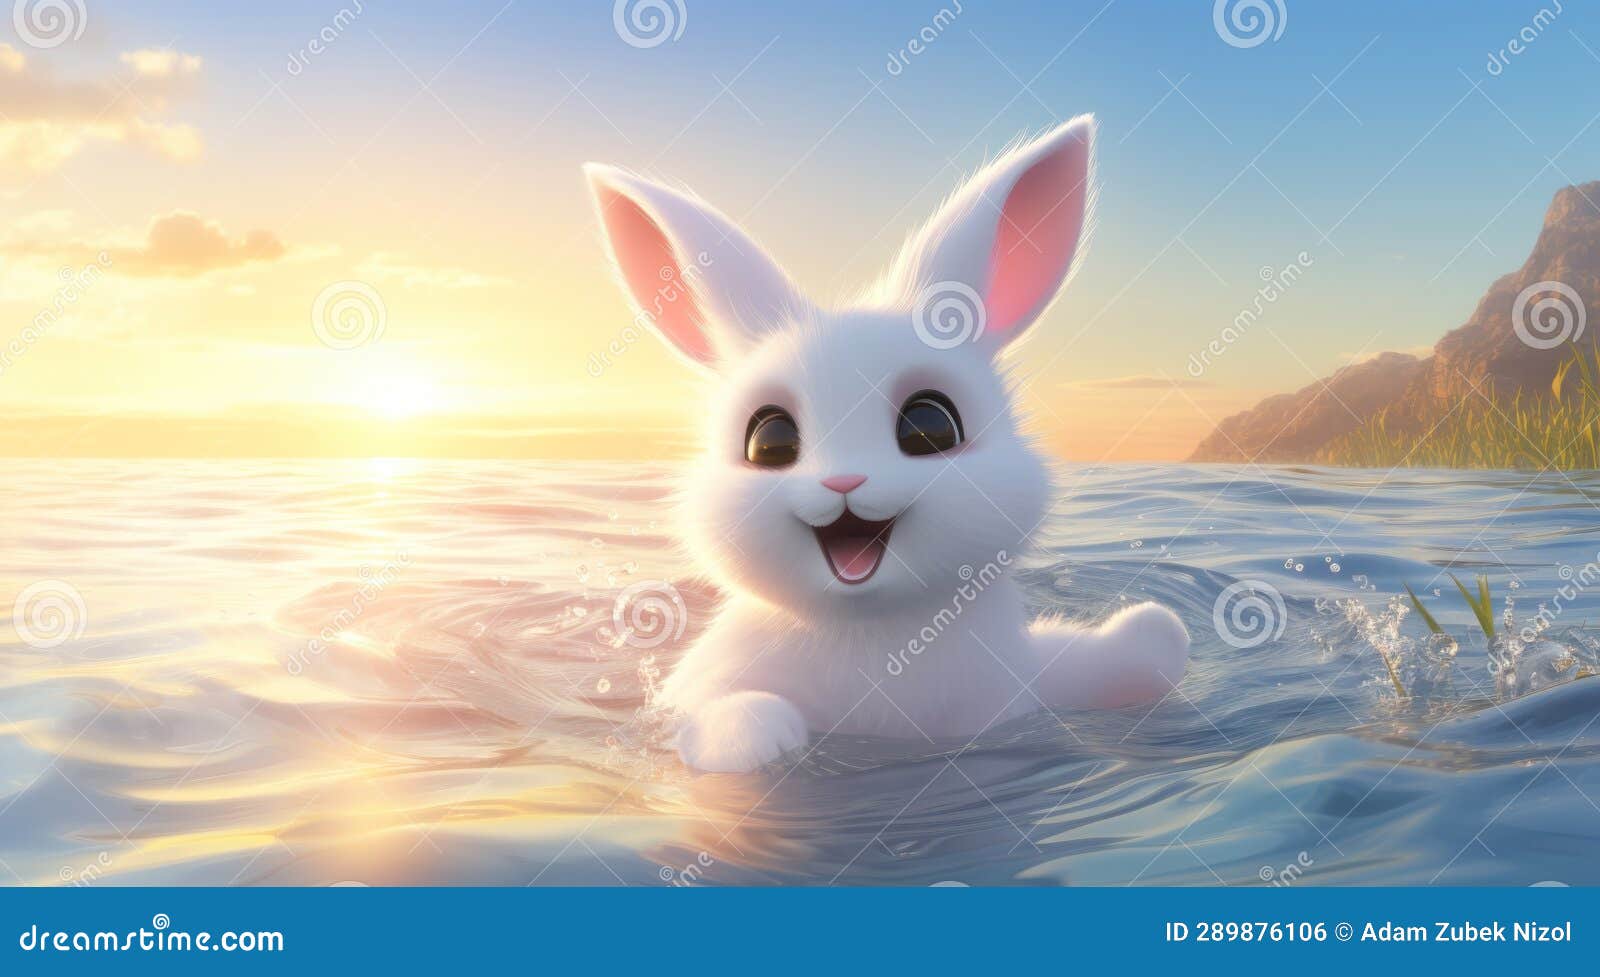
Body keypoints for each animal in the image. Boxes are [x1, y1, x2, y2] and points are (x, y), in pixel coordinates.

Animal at [585, 115, 1189, 773]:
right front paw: (761, 734)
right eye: (769, 441)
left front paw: (1156, 630)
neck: (875, 629)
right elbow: (715, 717)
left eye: (930, 427)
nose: (843, 481)